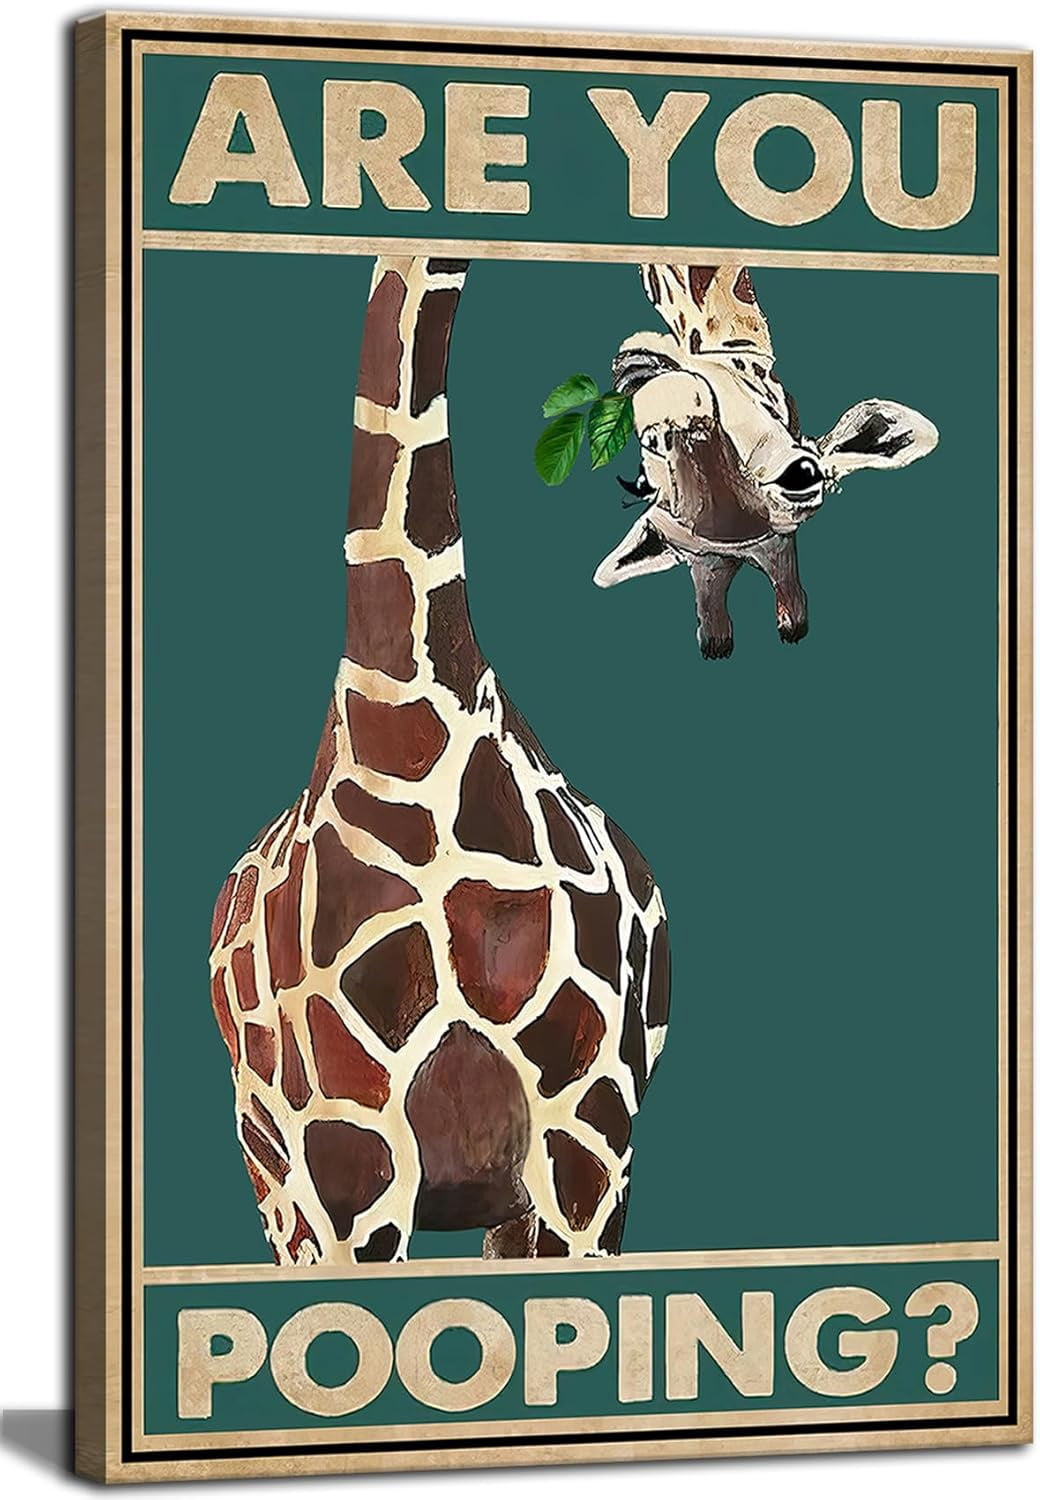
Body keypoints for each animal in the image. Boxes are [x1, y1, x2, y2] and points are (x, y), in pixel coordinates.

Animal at [594, 264, 939, 657]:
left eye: (804, 475)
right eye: (639, 483)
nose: (679, 400)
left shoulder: (773, 543)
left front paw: (790, 628)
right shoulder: (707, 558)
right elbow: (714, 623)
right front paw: (720, 644)